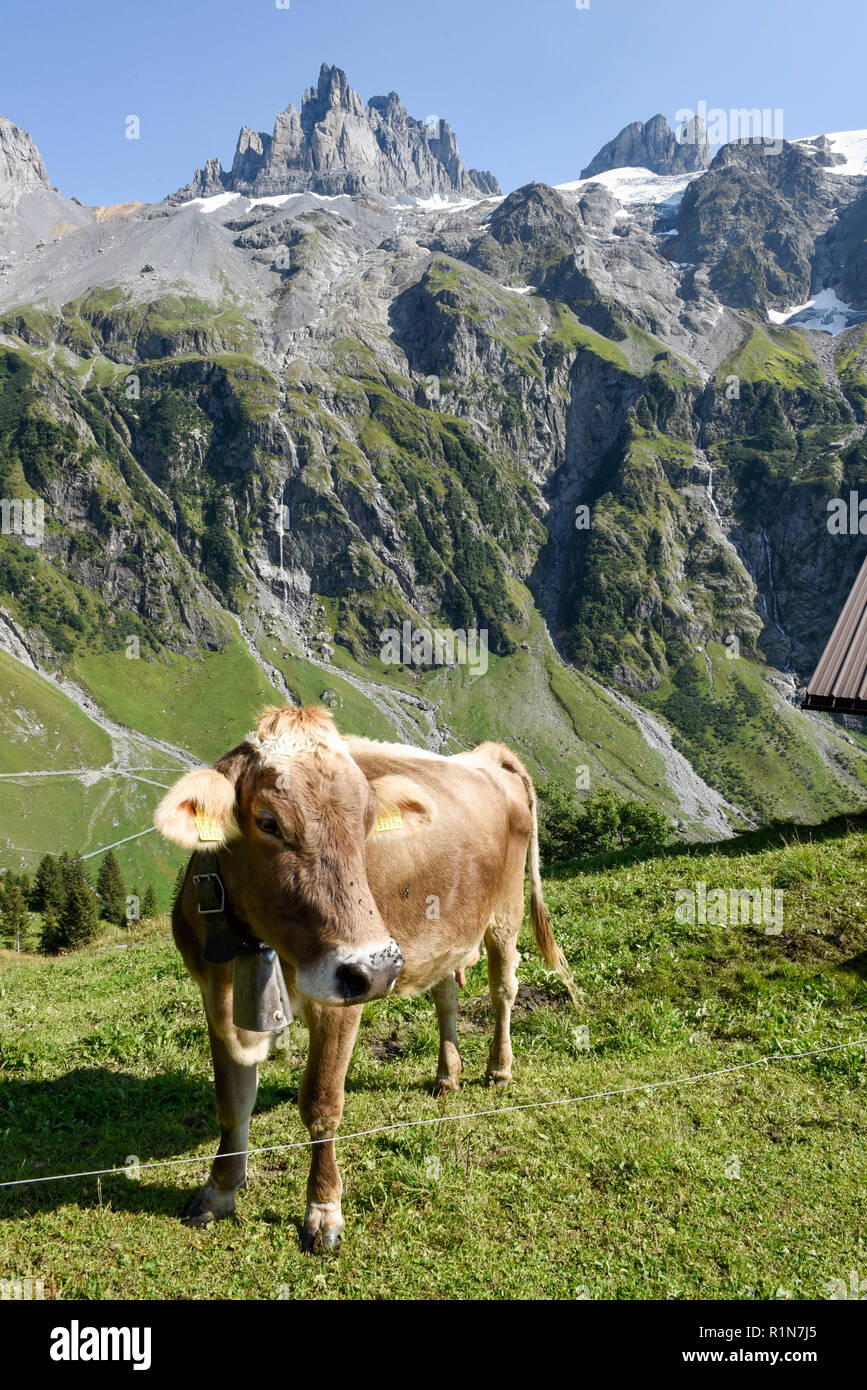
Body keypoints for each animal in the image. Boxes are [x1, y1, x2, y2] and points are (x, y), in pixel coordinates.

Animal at [154, 704, 576, 1252]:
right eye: (267, 821)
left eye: (368, 822)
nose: (376, 969)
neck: (252, 949)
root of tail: (484, 756)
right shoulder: (213, 996)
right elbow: (232, 1099)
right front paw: (220, 1191)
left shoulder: (340, 997)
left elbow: (321, 1102)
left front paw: (323, 1211)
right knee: (446, 998)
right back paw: (447, 1076)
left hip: (505, 910)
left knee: (504, 988)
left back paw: (499, 1069)